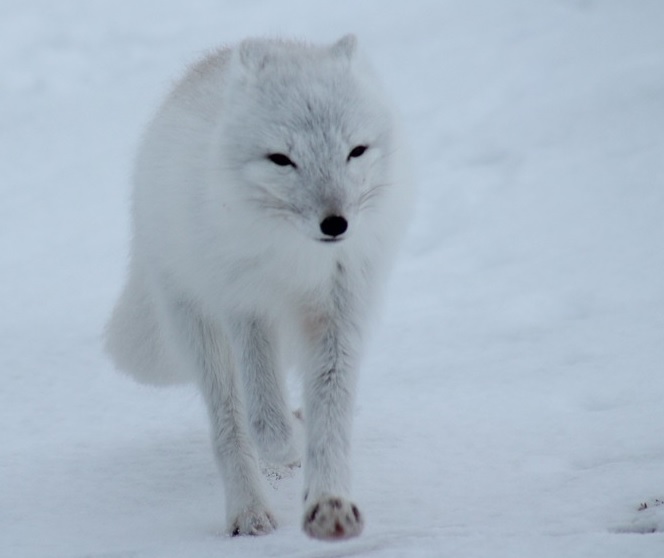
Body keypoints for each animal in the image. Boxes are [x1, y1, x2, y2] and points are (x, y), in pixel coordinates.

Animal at [105, 34, 412, 541]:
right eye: (281, 159)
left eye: (356, 151)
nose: (336, 224)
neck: (298, 259)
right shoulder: (246, 309)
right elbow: (265, 422)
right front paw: (290, 448)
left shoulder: (339, 312)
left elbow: (331, 414)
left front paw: (329, 505)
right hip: (201, 330)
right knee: (231, 423)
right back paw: (249, 513)